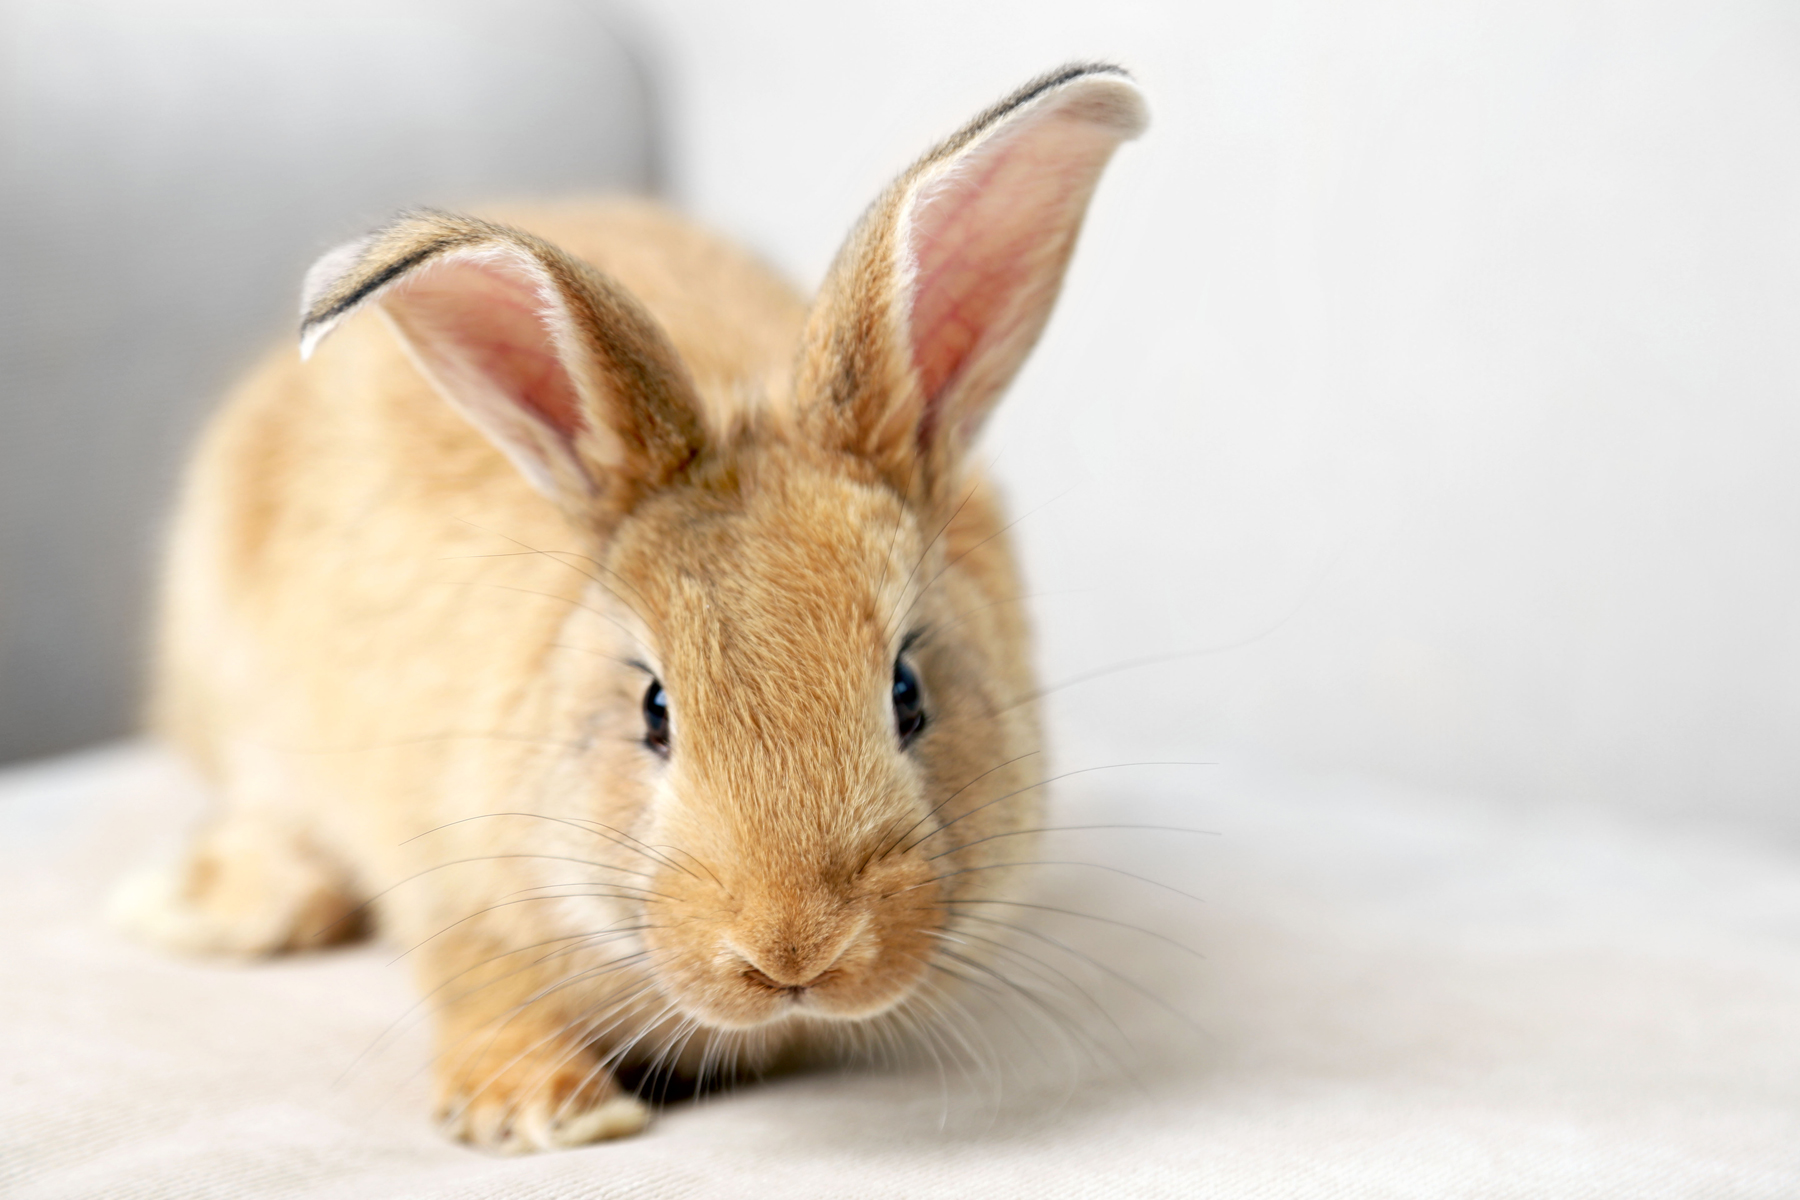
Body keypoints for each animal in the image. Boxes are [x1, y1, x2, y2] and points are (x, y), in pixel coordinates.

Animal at [112, 63, 1147, 1153]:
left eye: (909, 693)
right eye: (654, 710)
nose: (796, 953)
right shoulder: (454, 886)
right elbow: (481, 993)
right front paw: (545, 1113)